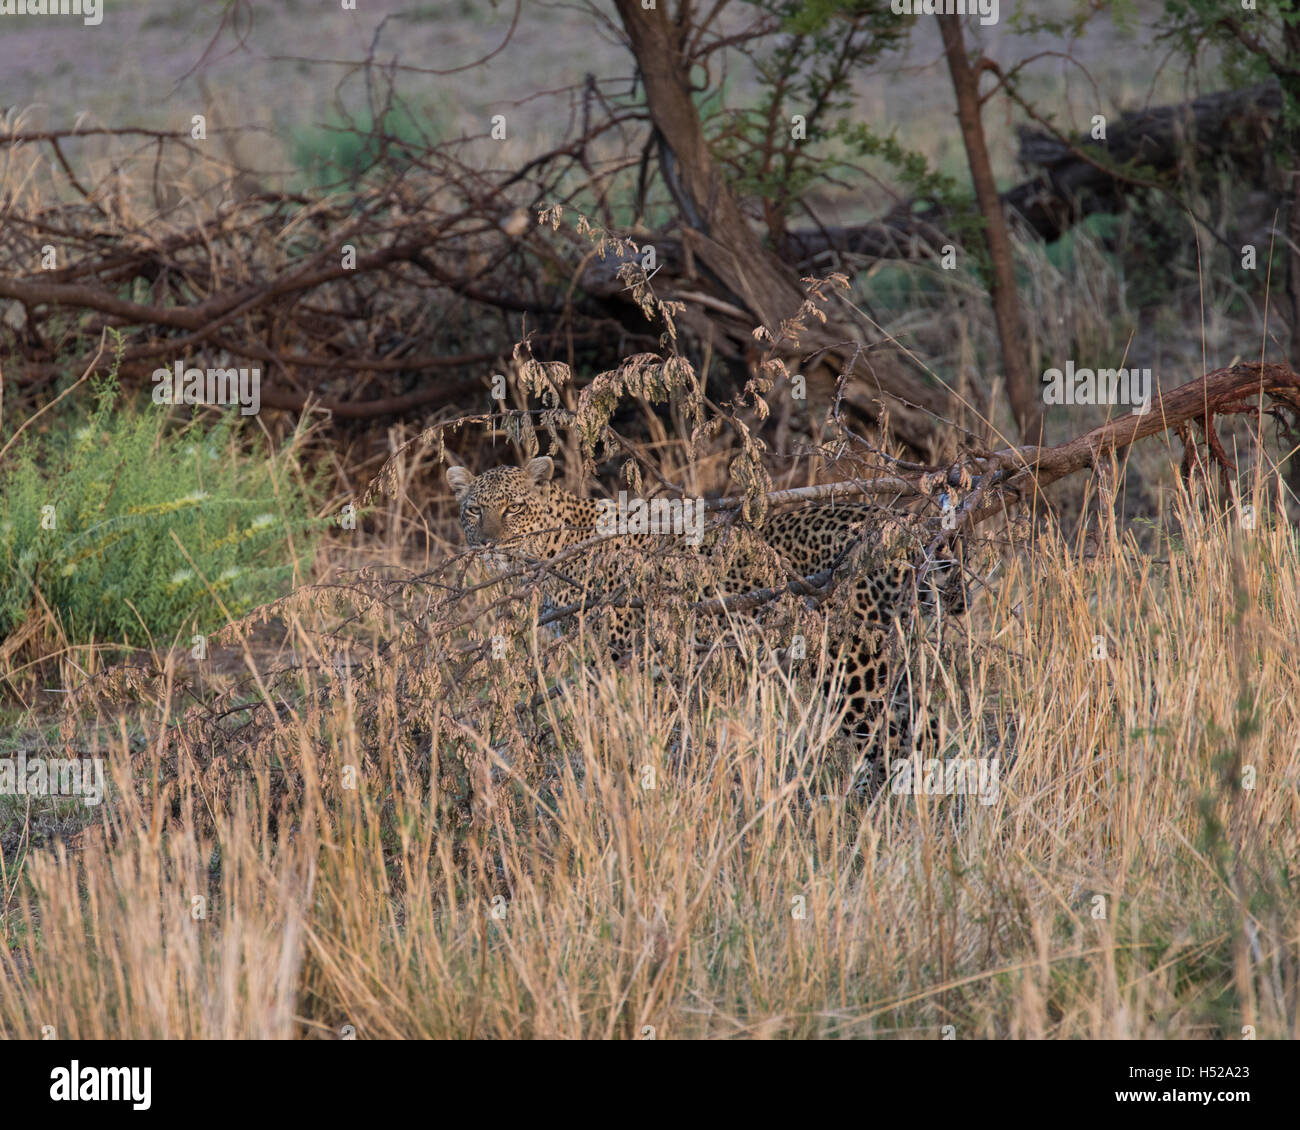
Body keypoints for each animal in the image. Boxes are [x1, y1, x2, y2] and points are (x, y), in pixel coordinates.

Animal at [446, 456, 967, 769]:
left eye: (513, 508)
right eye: (473, 511)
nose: (489, 545)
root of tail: (894, 522)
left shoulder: (630, 664)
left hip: (853, 665)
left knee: (890, 742)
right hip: (888, 662)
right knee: (925, 731)